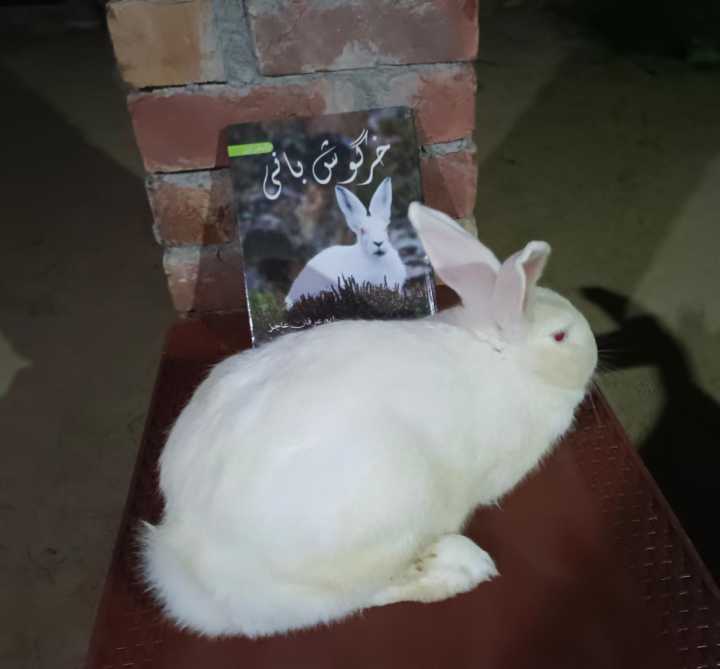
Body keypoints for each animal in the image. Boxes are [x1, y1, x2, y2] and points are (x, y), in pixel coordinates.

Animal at [141, 202, 598, 638]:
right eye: (560, 336)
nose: (595, 352)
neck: (504, 356)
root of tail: (188, 562)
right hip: (386, 521)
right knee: (353, 597)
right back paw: (460, 567)